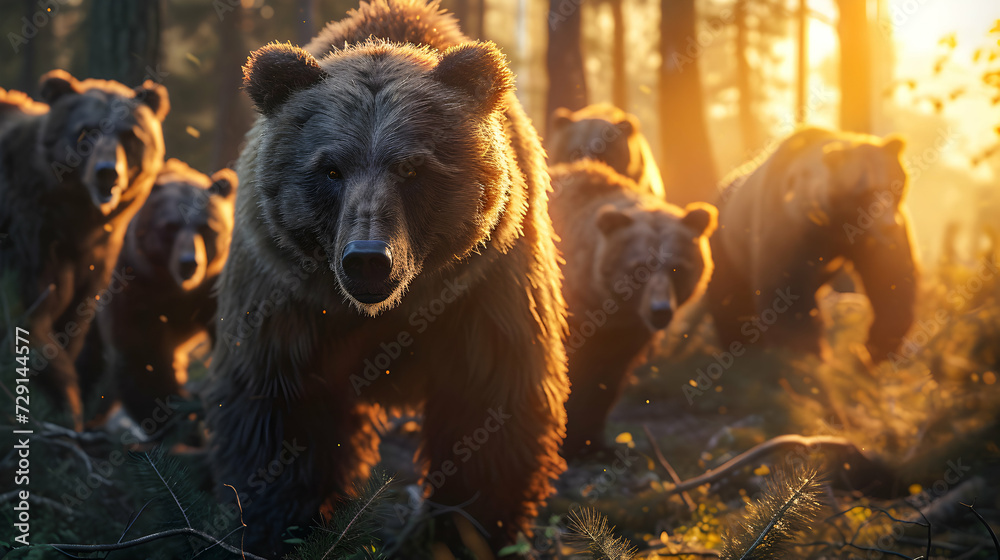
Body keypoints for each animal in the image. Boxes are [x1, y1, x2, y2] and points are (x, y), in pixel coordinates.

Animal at [0, 71, 168, 430]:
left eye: (129, 135)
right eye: (86, 130)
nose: (108, 173)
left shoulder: (92, 261)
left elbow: (73, 323)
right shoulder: (27, 240)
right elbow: (30, 321)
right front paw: (65, 406)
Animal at [76, 159, 236, 430]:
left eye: (206, 228)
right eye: (171, 226)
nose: (189, 263)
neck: (173, 287)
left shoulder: (212, 290)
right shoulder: (134, 289)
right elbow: (141, 356)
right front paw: (174, 416)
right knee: (88, 362)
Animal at [204, 0, 569, 555]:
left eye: (412, 169)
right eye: (330, 169)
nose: (368, 258)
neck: (390, 309)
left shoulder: (484, 289)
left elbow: (488, 405)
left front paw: (468, 530)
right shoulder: (285, 296)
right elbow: (280, 412)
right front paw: (285, 526)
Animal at [548, 160, 716, 458]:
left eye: (678, 268)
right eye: (639, 268)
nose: (660, 310)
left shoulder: (624, 332)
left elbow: (605, 381)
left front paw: (594, 443)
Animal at [706, 127, 918, 361]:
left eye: (896, 184)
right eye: (864, 190)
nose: (890, 225)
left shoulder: (868, 237)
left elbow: (890, 277)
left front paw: (875, 346)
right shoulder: (789, 230)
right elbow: (785, 293)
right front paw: (808, 351)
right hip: (725, 245)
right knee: (729, 298)